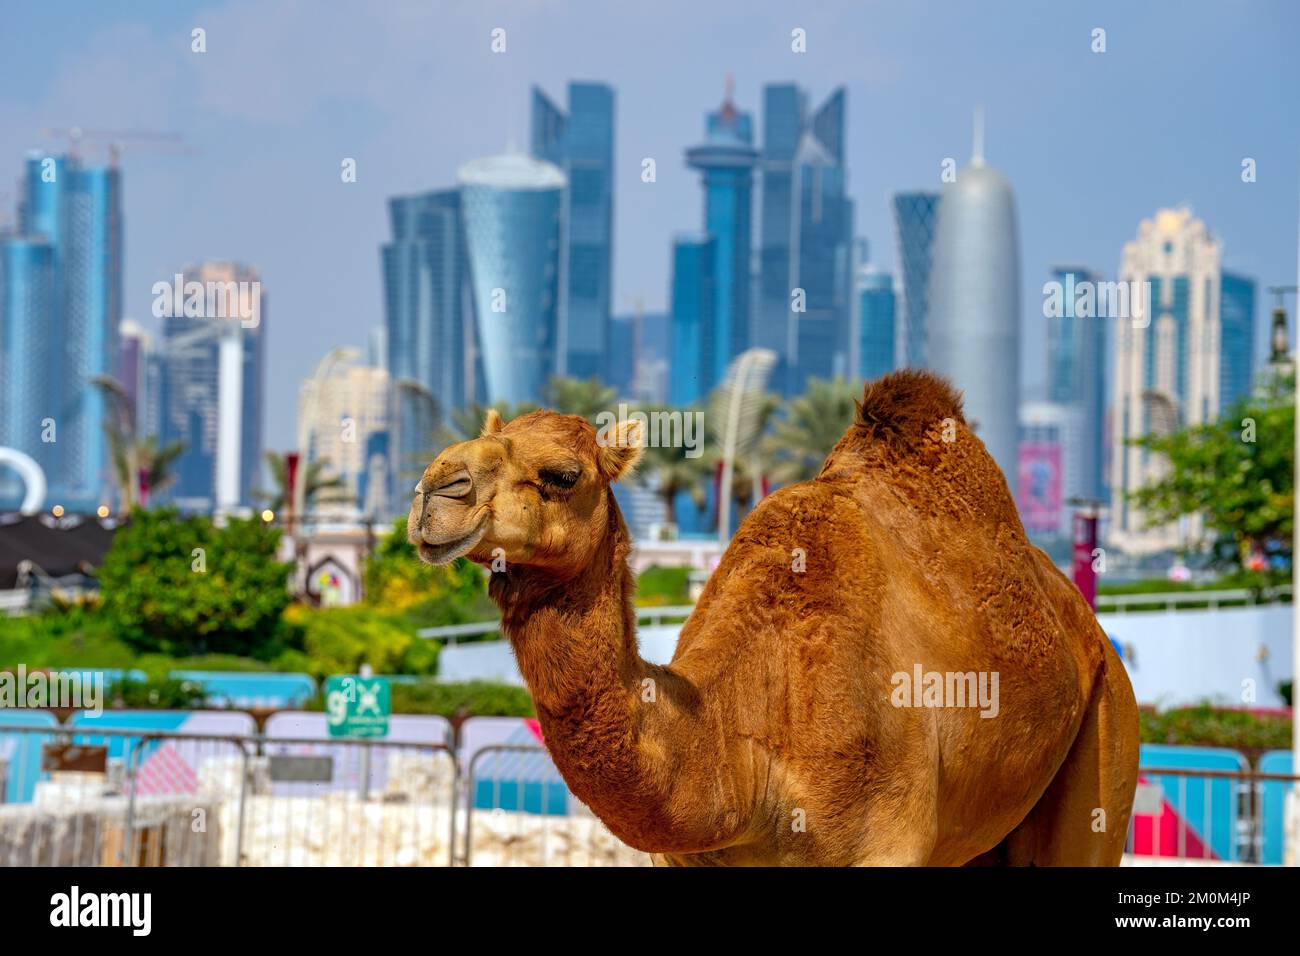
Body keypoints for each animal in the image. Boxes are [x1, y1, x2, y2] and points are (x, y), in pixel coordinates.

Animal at [409, 370, 1139, 866]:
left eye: (561, 475)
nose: (433, 490)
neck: (746, 748)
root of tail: (1093, 637)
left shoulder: (889, 843)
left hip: (1107, 742)